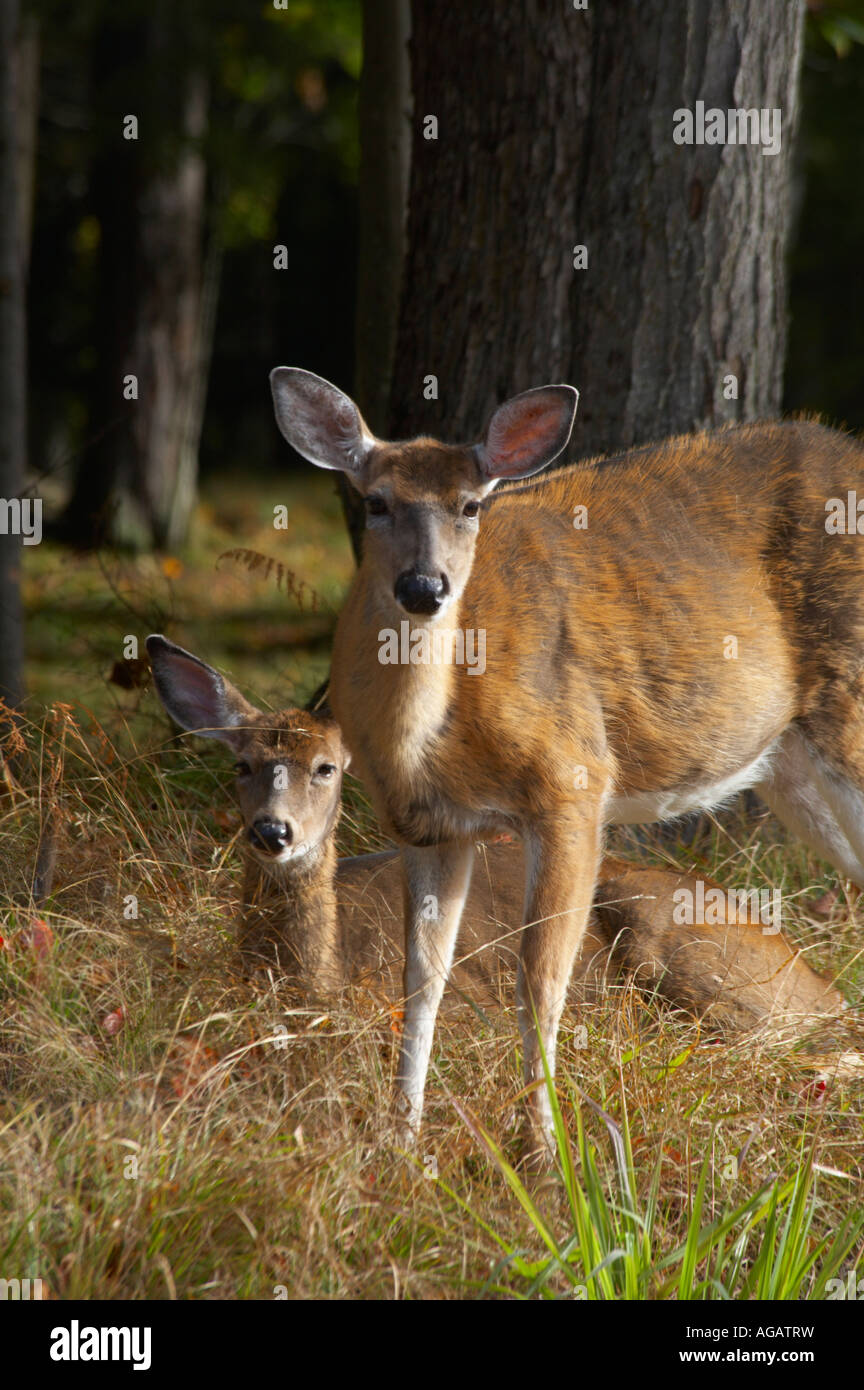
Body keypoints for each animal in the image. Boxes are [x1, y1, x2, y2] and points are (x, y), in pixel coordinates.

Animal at [146, 635, 844, 1053]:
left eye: (327, 768)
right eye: (241, 765)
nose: (272, 830)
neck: (326, 975)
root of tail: (822, 984)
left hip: (681, 941)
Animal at [267, 367, 864, 1160]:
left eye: (470, 505)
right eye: (376, 502)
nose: (424, 589)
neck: (437, 734)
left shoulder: (574, 781)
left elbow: (541, 983)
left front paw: (543, 1153)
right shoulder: (428, 825)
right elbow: (421, 980)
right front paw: (401, 1140)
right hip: (794, 769)